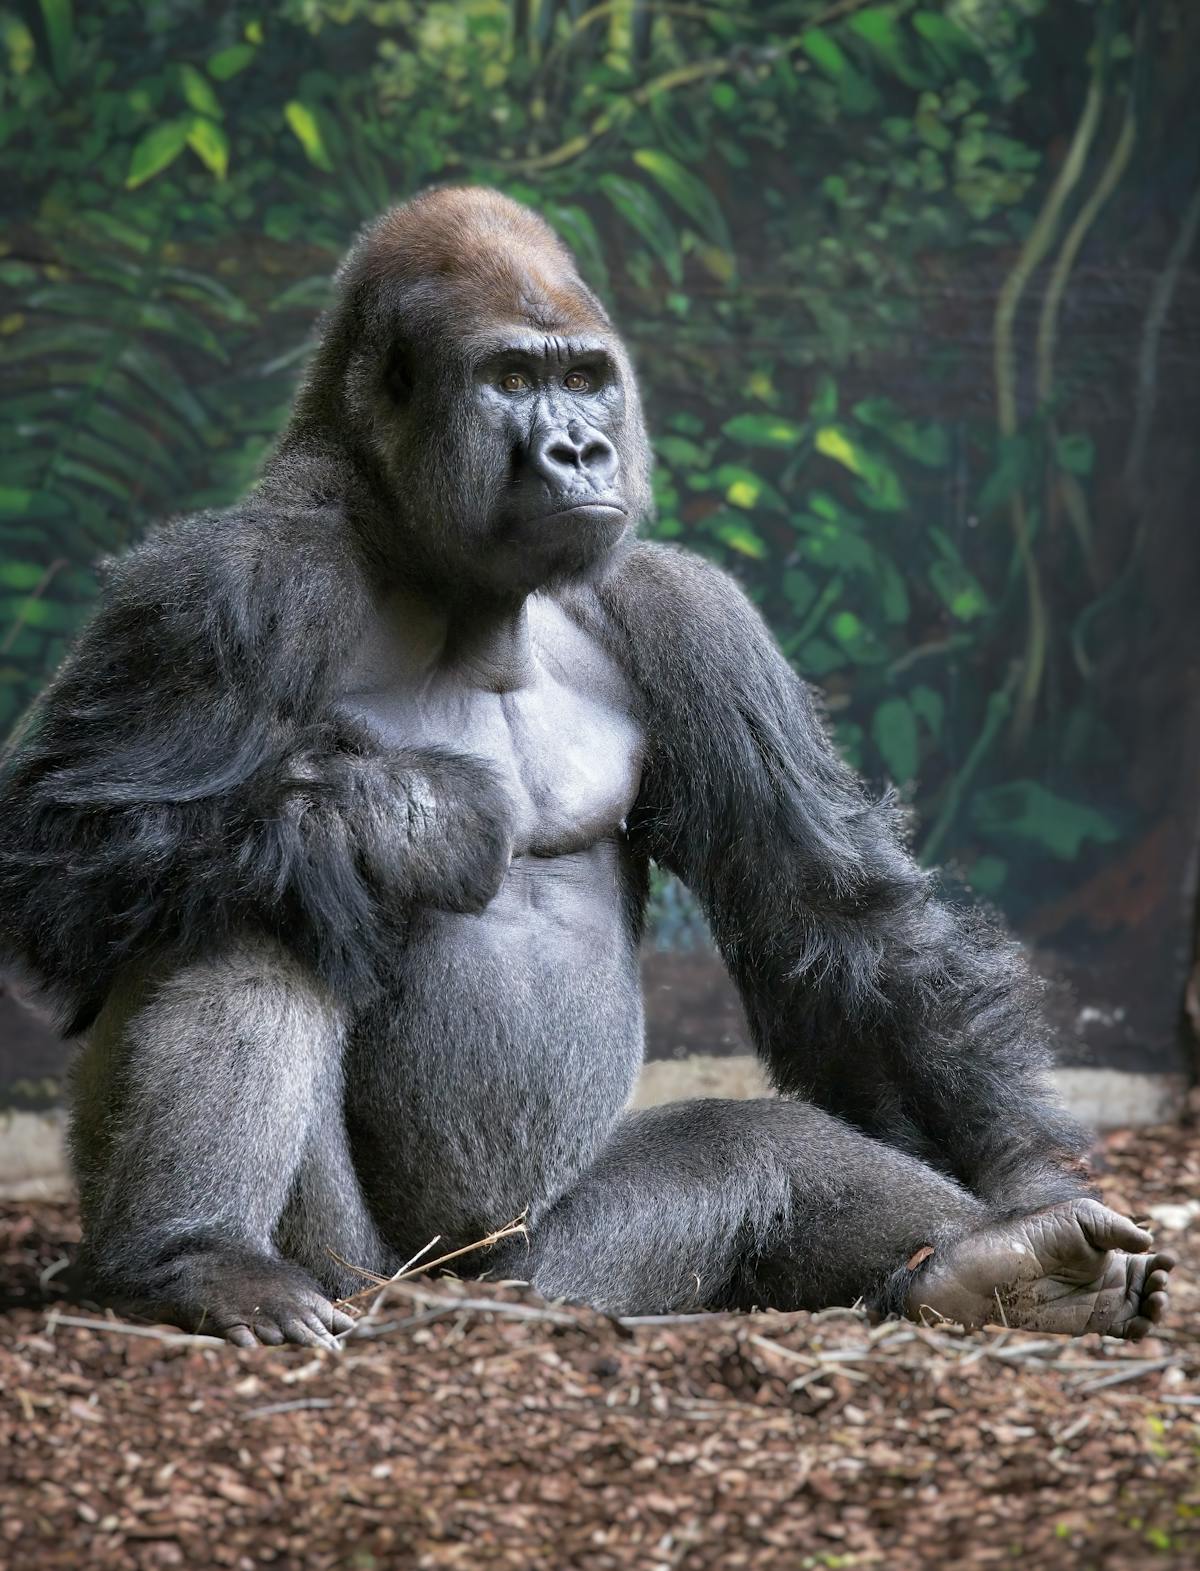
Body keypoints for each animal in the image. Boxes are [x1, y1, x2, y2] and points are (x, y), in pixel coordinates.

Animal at [0, 187, 1173, 1347]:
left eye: (583, 379)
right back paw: (195, 1253)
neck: (435, 563)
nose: (577, 451)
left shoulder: (690, 616)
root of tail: (467, 1281)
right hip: (365, 1265)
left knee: (752, 1154)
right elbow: (59, 845)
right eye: (512, 380)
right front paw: (405, 819)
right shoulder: (228, 587)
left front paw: (1027, 1174)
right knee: (253, 893)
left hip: (572, 1261)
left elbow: (829, 918)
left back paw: (999, 1264)